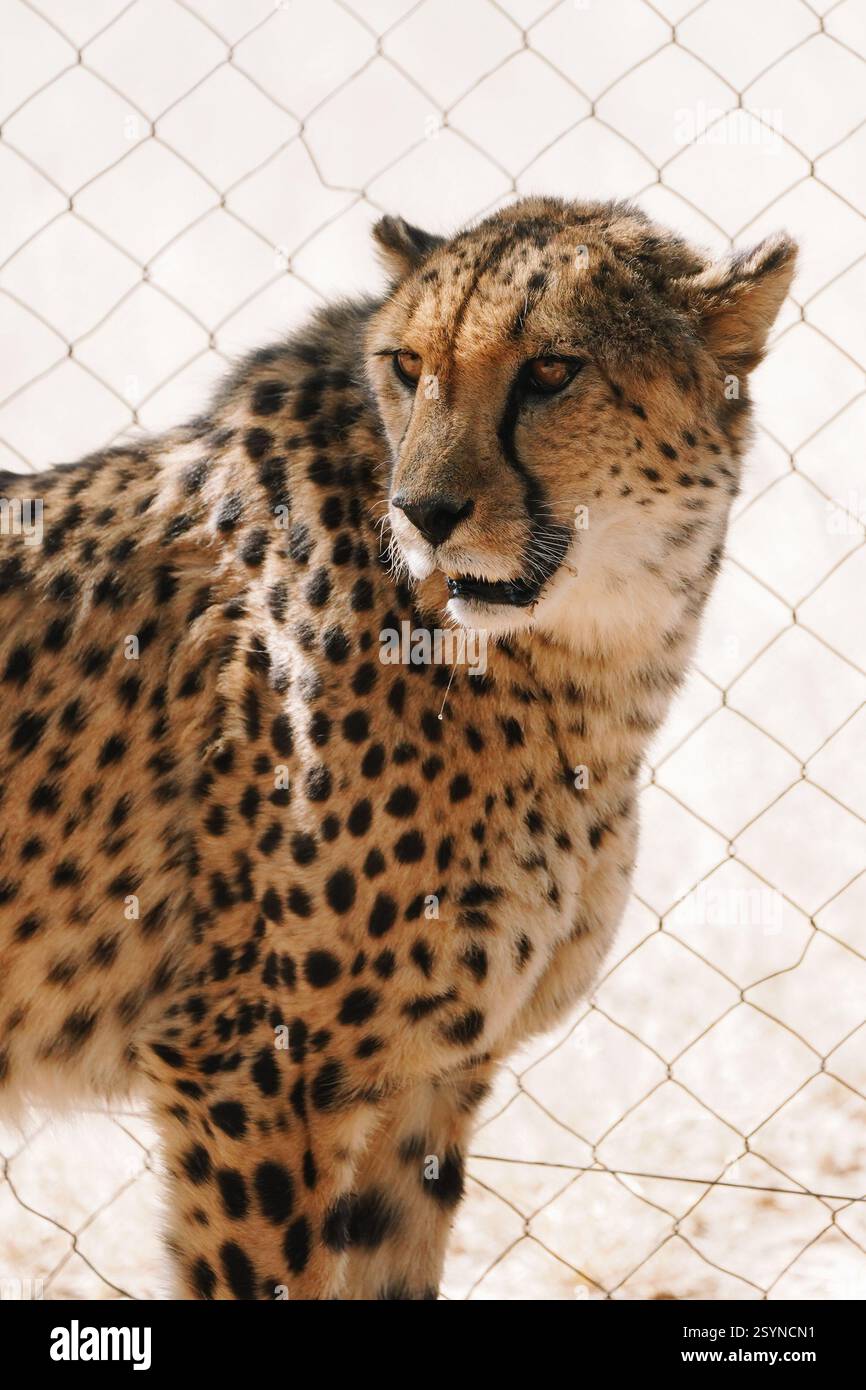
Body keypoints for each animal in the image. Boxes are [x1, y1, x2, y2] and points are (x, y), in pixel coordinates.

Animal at [0, 196, 795, 1300]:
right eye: (409, 366)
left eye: (553, 370)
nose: (423, 513)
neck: (577, 670)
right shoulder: (253, 1067)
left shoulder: (427, 1076)